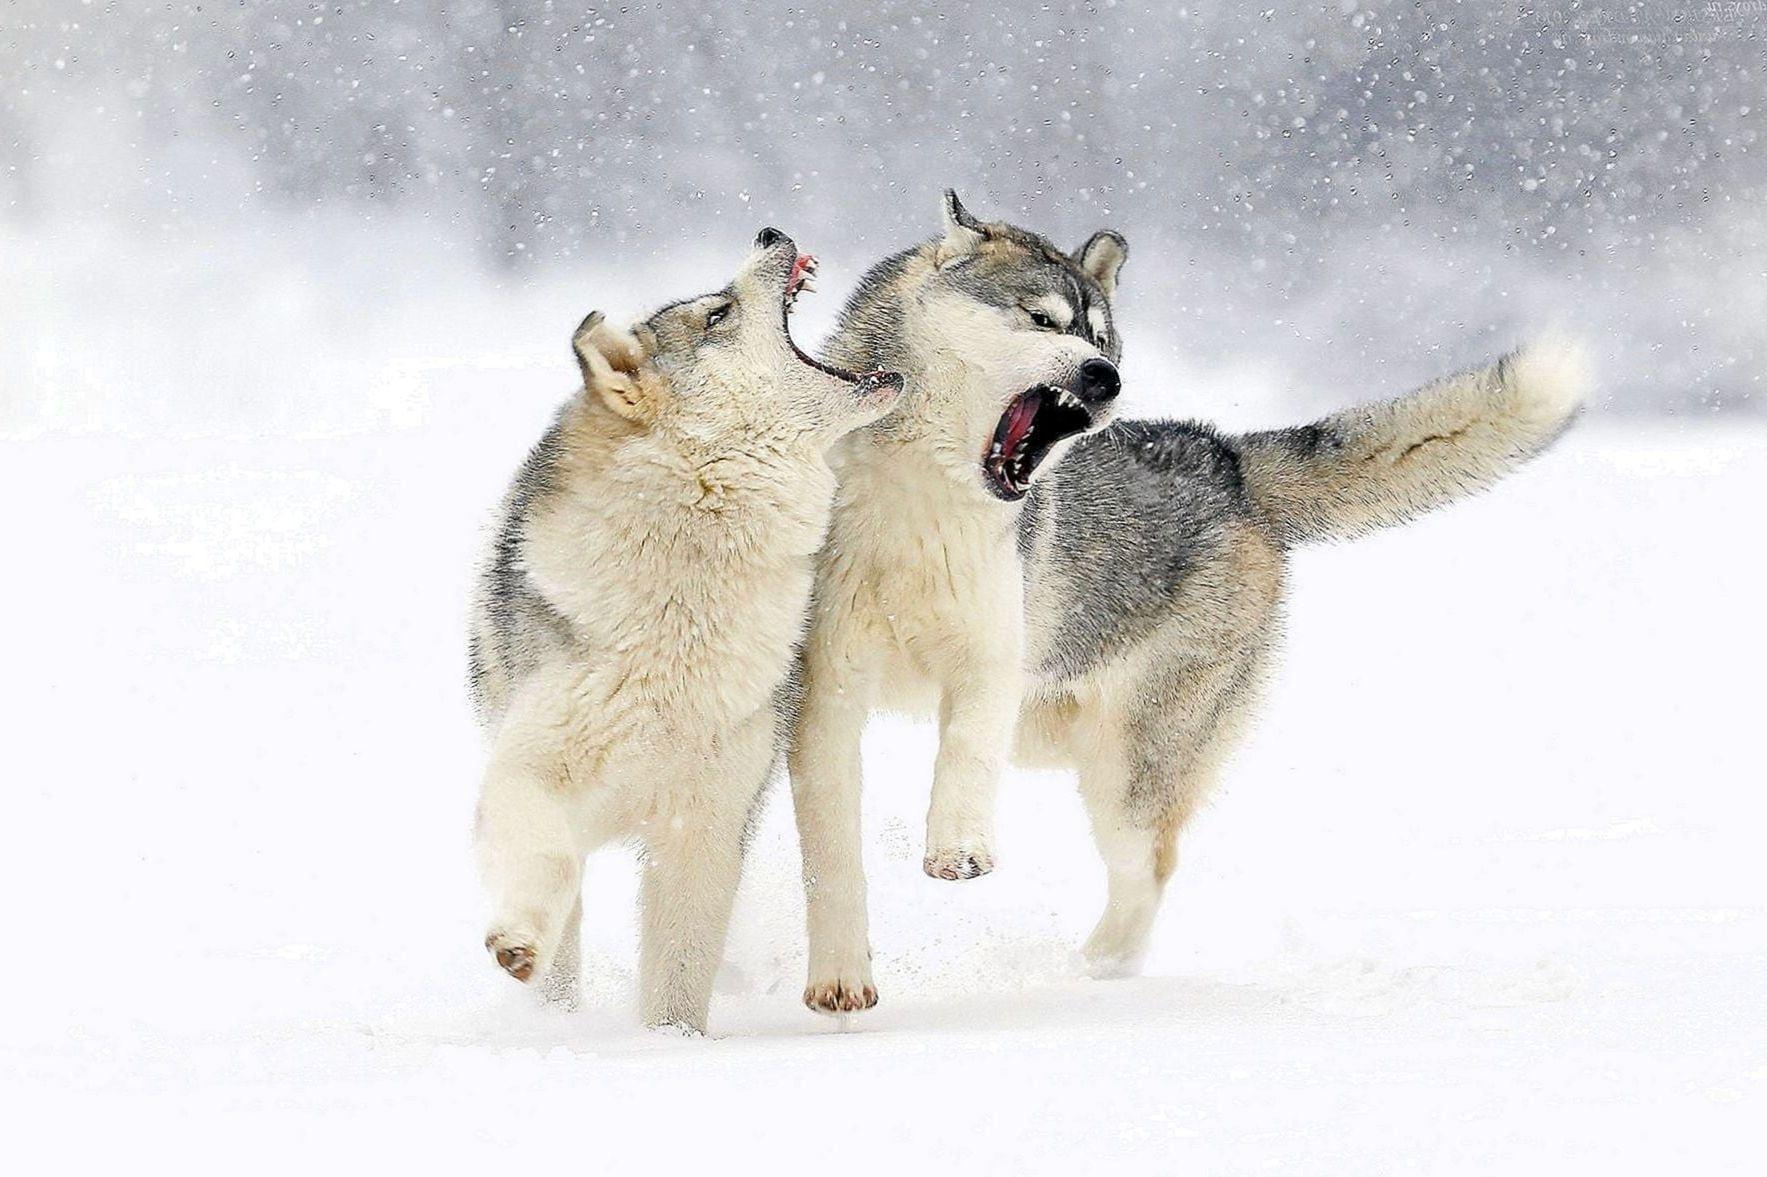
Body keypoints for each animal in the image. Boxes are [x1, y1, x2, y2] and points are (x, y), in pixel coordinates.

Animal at [466, 229, 902, 1032]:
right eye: (717, 313)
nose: (770, 233)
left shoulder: (705, 826)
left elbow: (679, 971)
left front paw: (671, 1045)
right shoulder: (528, 771)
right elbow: (544, 857)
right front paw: (517, 944)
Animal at [789, 192, 1587, 1012]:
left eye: (1100, 338)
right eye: (1042, 320)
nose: (1104, 377)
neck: (918, 506)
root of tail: (1229, 458)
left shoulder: (989, 661)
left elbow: (967, 754)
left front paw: (958, 848)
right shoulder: (826, 692)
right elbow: (831, 854)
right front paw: (841, 976)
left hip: (1128, 763)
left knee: (1148, 867)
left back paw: (1092, 973)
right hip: (1061, 736)